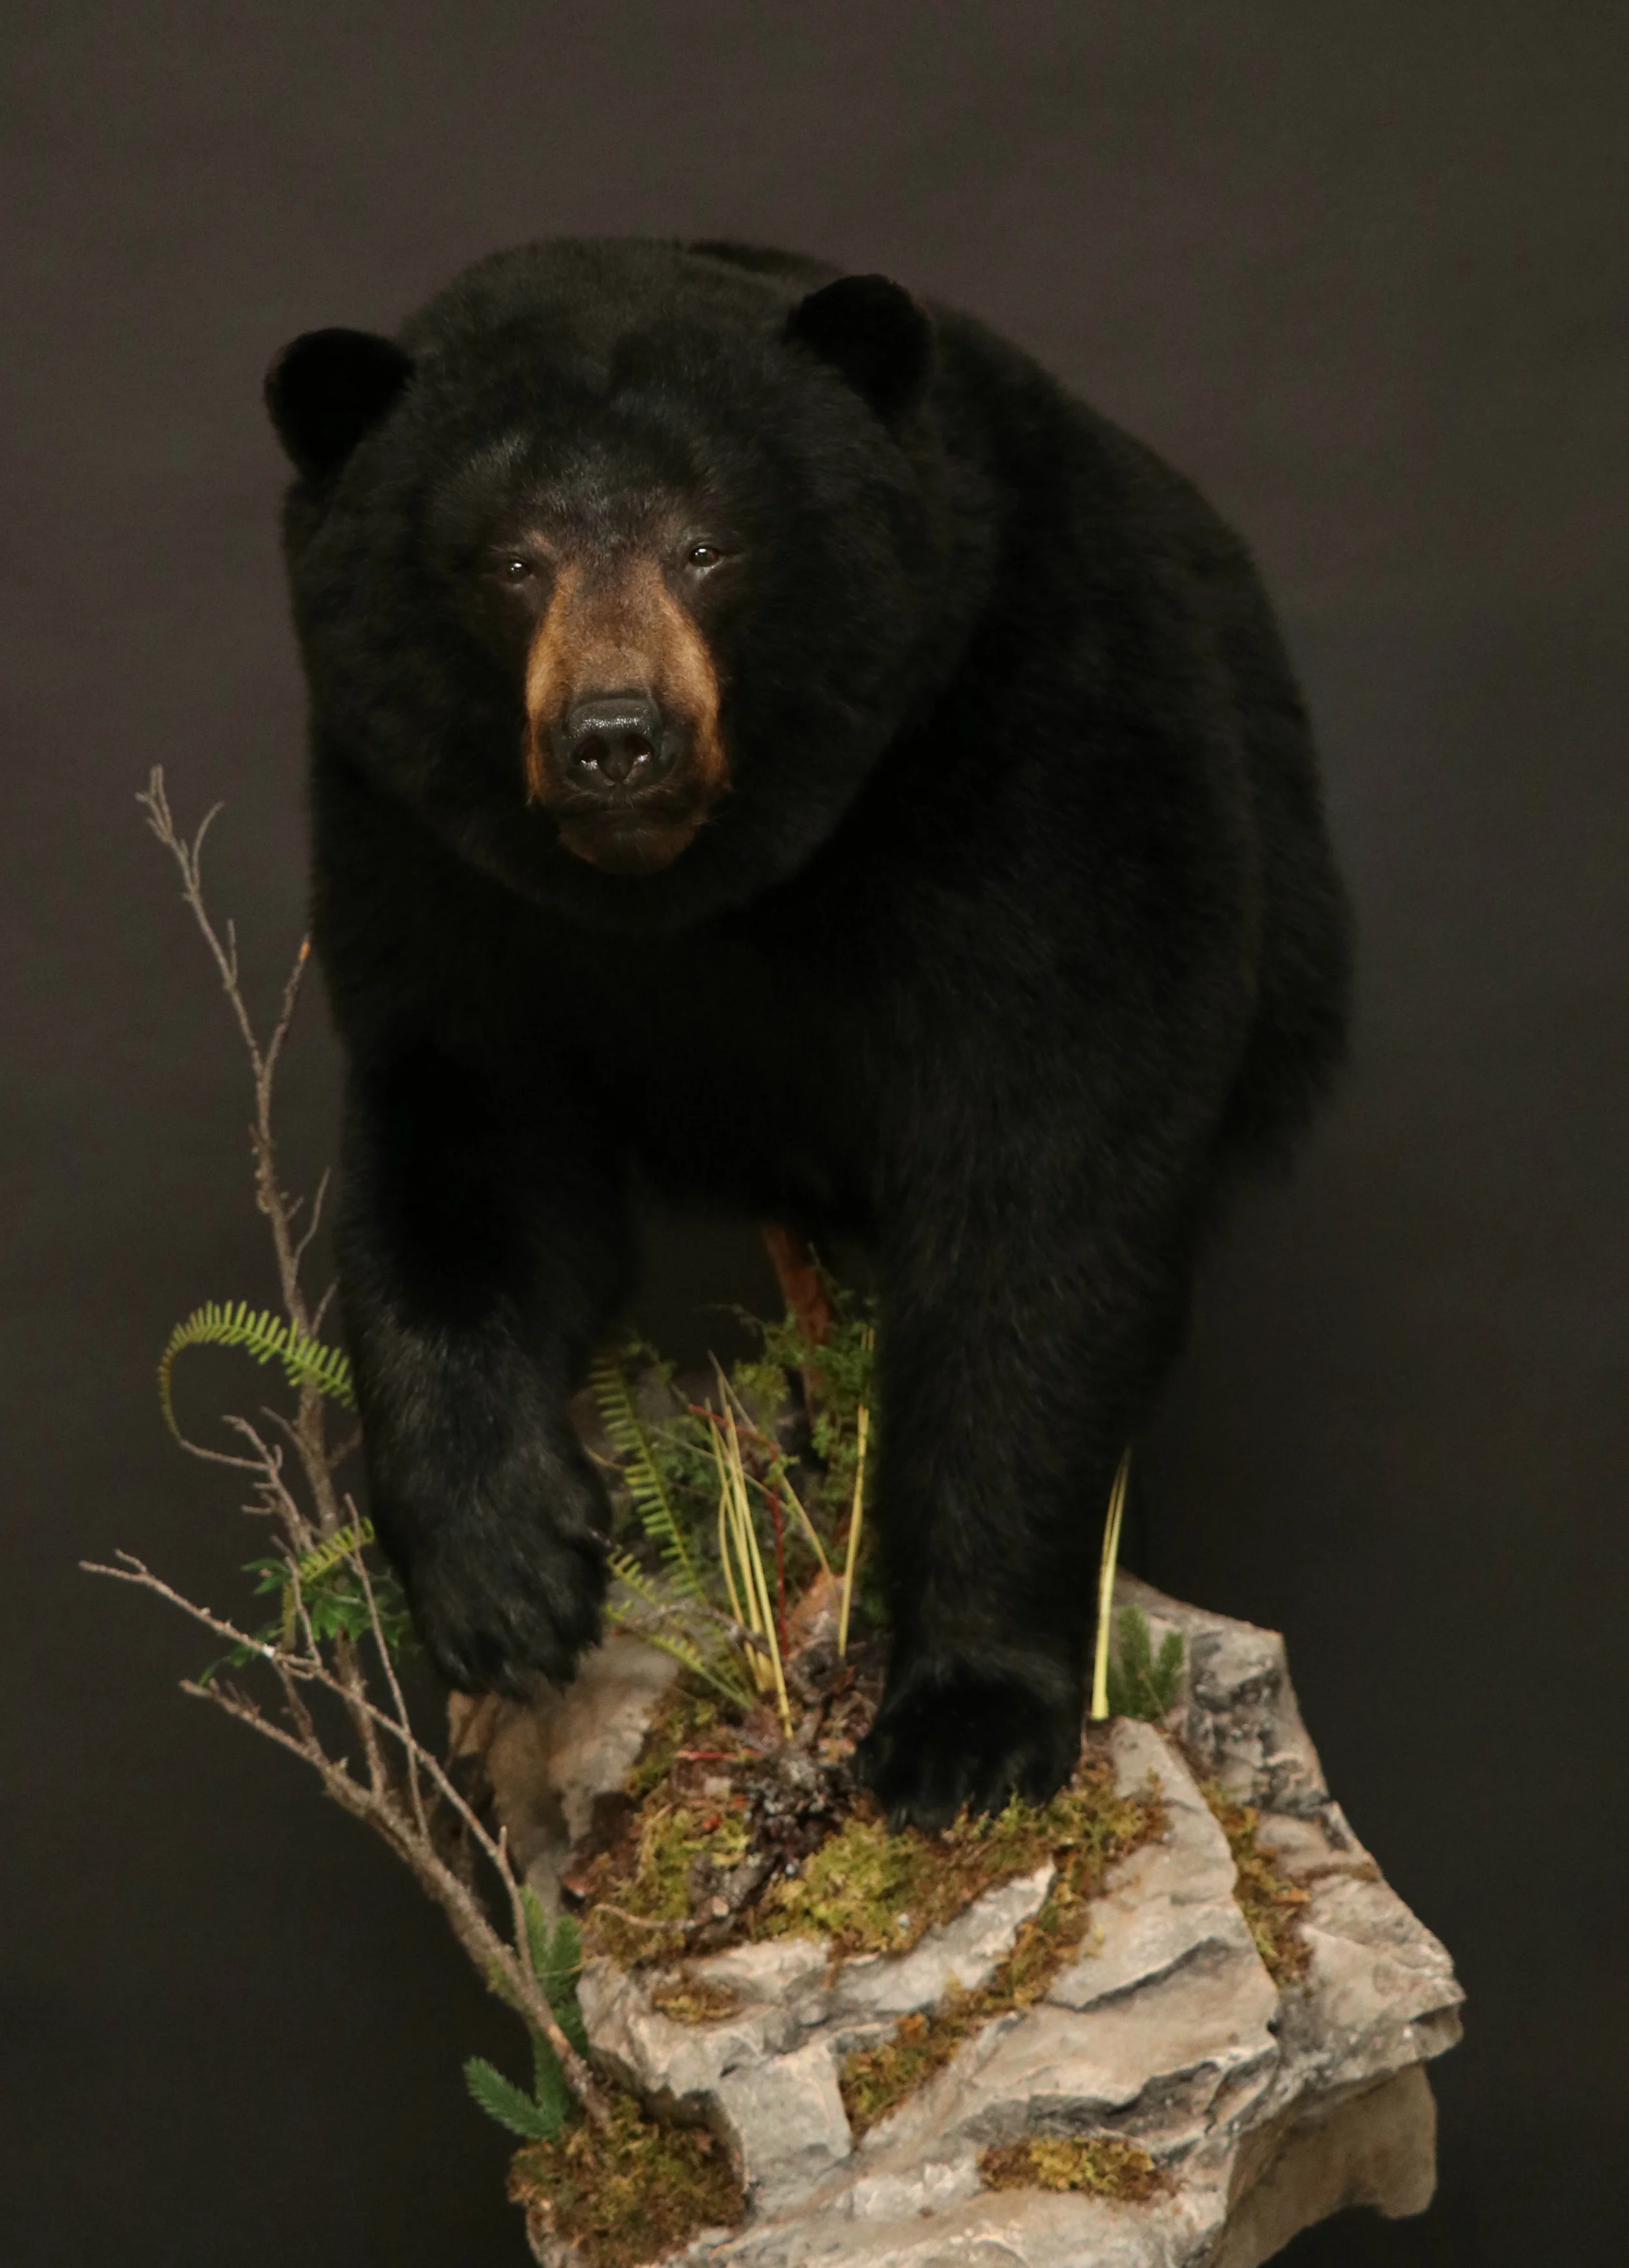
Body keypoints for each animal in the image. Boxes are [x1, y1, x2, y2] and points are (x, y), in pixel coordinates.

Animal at [265, 237, 1351, 1832]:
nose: (615, 737)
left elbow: (1048, 1183)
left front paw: (965, 1720)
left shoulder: (1051, 740)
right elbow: (464, 1136)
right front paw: (501, 1576)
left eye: (710, 549)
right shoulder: (422, 845)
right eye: (510, 559)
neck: (717, 876)